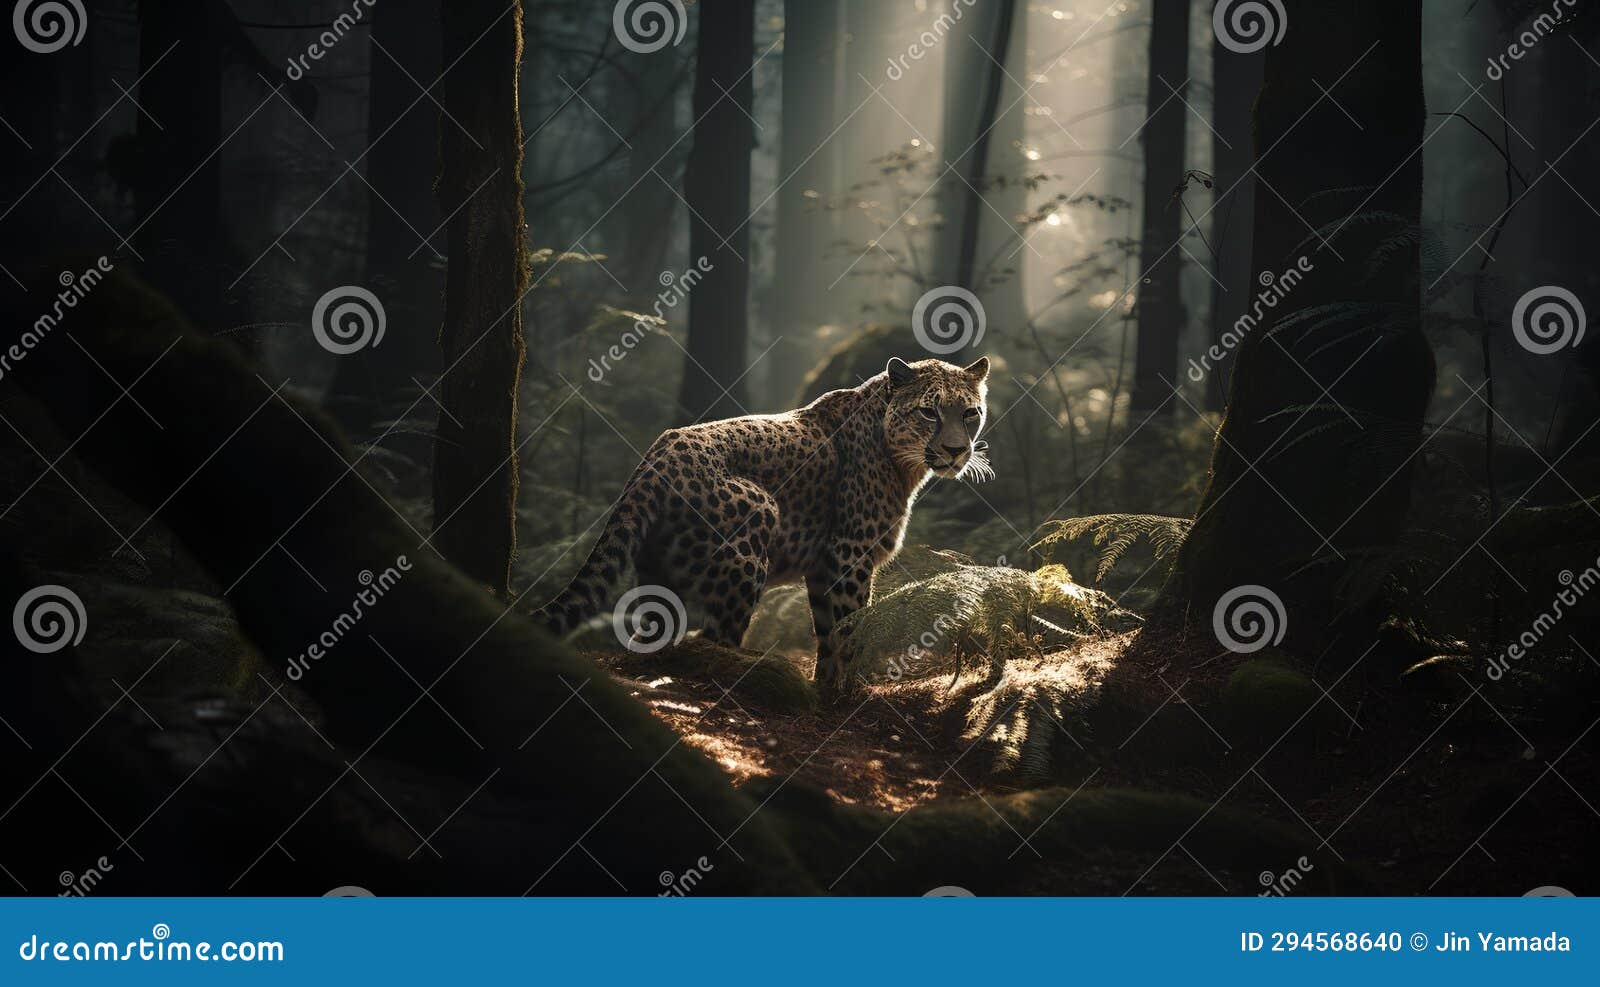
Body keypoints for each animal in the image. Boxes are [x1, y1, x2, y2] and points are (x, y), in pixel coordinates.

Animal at [538, 355, 992, 688]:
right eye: (929, 412)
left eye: (970, 413)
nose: (956, 450)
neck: (904, 464)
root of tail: (656, 455)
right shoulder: (849, 556)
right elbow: (849, 628)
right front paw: (851, 692)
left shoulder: (823, 568)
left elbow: (827, 633)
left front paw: (827, 689)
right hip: (750, 543)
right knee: (714, 637)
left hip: (660, 577)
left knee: (655, 635)